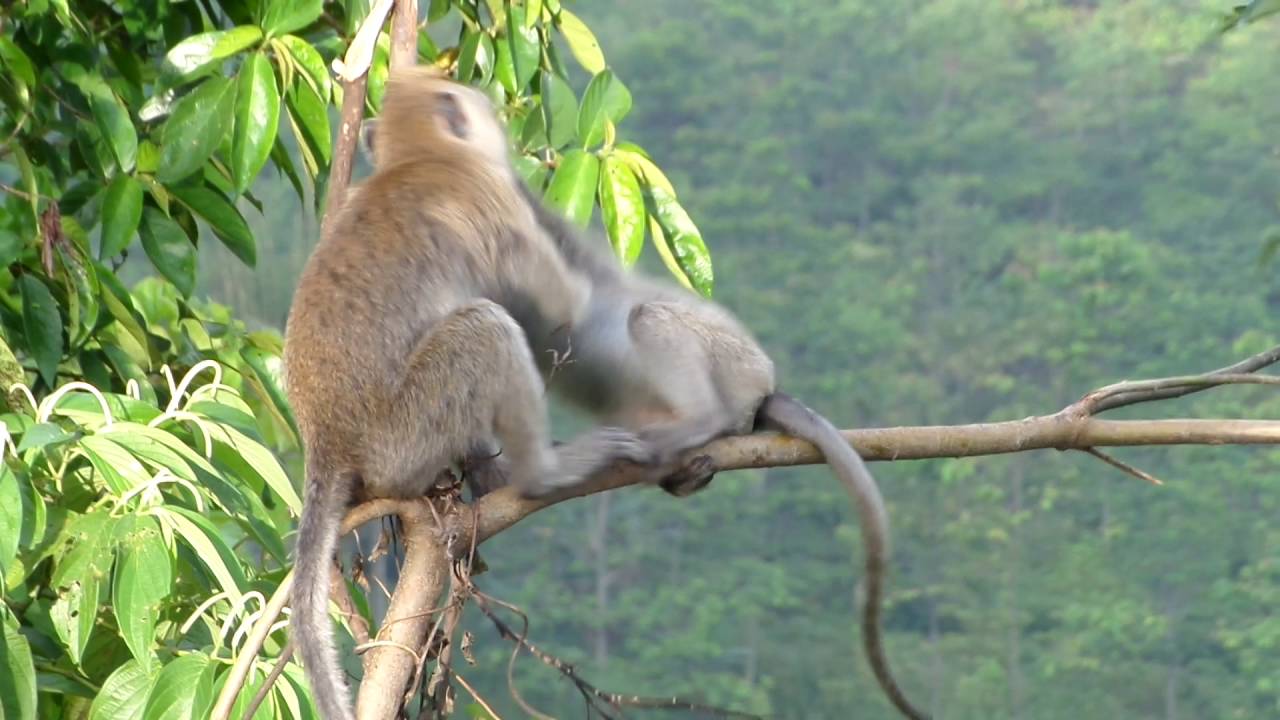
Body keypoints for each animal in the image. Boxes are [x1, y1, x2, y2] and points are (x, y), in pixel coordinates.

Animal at [283, 67, 655, 720]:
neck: (422, 157)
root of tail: (324, 437)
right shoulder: (491, 197)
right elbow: (564, 302)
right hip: (405, 434)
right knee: (486, 328)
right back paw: (542, 474)